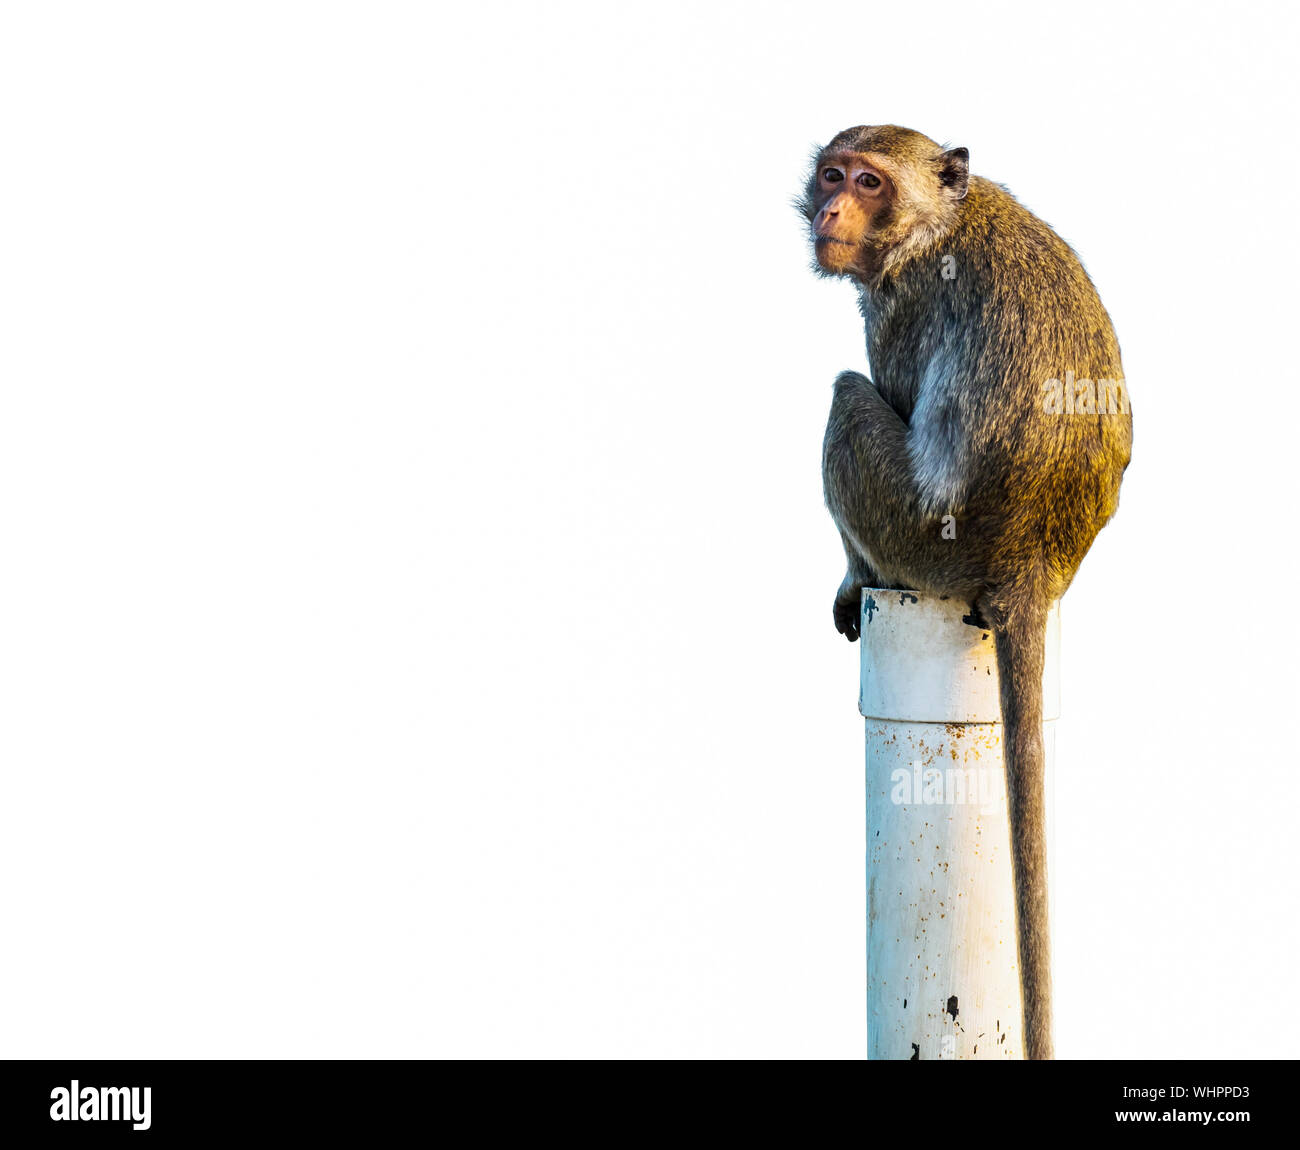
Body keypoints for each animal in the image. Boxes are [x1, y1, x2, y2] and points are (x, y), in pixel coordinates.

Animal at [800, 125, 1132, 1060]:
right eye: (832, 176)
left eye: (869, 182)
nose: (832, 209)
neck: (938, 220)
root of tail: (1032, 560)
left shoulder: (900, 304)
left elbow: (883, 389)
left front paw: (850, 579)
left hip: (921, 537)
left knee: (848, 399)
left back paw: (867, 574)